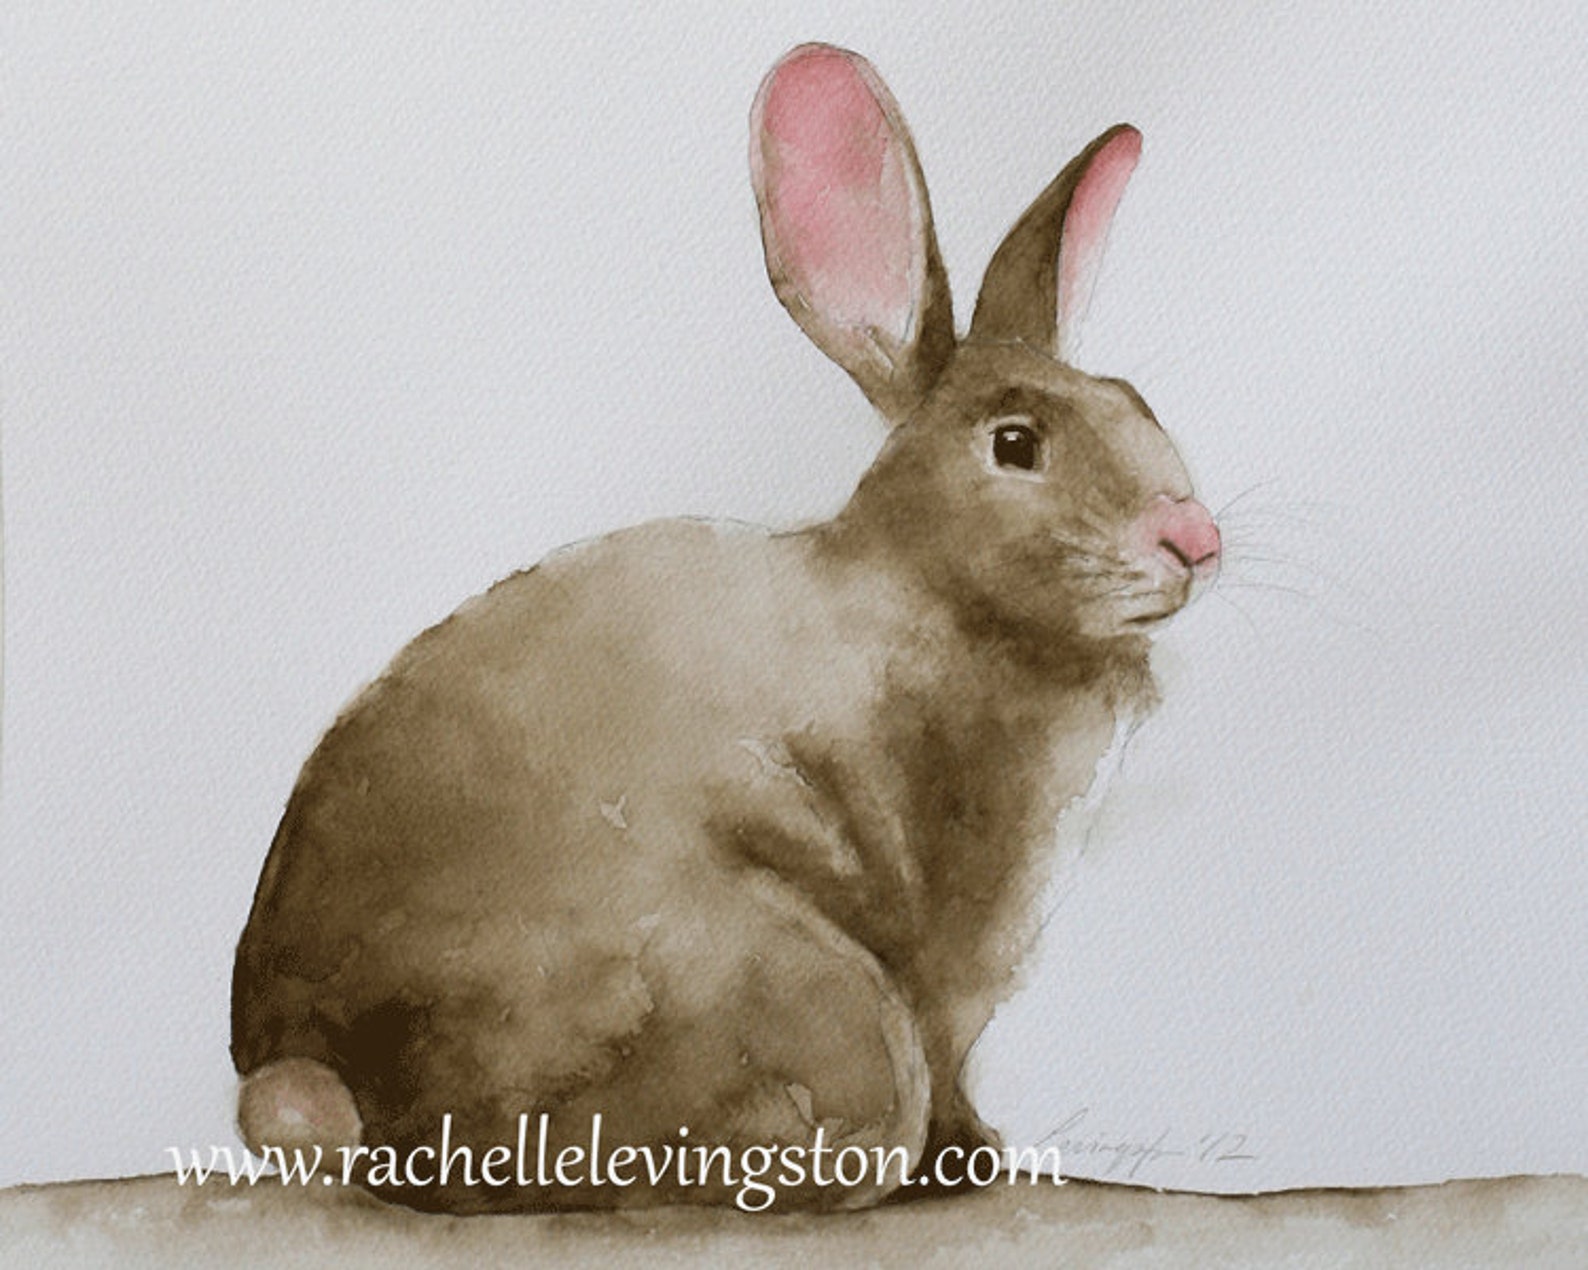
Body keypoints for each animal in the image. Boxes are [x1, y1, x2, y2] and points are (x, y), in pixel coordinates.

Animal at [231, 42, 1221, 1214]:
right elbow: (942, 1037)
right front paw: (968, 1160)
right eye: (1016, 443)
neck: (930, 592)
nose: (1194, 537)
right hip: (811, 1003)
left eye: (1135, 400)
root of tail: (325, 1084)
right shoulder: (930, 953)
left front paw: (978, 1154)